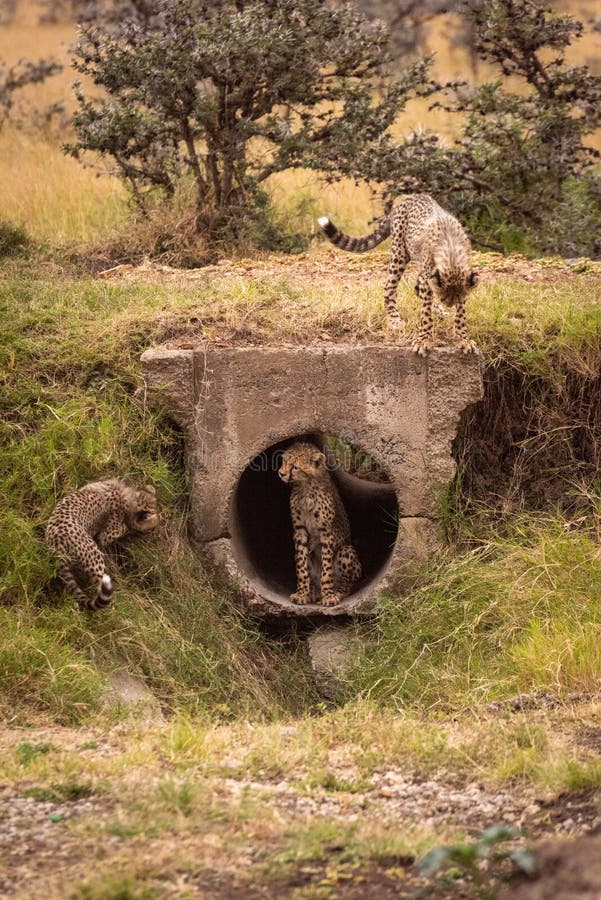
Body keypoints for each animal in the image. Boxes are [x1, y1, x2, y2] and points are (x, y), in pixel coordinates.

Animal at [46, 479, 159, 611]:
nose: (154, 528)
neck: (132, 499)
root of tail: (58, 544)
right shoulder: (107, 534)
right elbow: (122, 528)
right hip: (96, 560)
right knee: (103, 591)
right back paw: (117, 608)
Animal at [278, 441, 362, 607]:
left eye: (295, 467)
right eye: (284, 461)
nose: (281, 474)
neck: (305, 486)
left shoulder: (326, 532)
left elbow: (327, 569)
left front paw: (329, 595)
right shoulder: (299, 530)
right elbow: (302, 566)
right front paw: (302, 593)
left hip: (346, 550)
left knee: (348, 585)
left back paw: (337, 592)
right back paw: (313, 591)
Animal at [318, 193, 479, 356]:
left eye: (457, 299)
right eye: (443, 298)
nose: (448, 305)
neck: (451, 254)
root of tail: (410, 197)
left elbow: (461, 315)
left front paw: (463, 339)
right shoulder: (428, 278)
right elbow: (426, 314)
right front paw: (423, 340)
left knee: (416, 289)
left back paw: (439, 312)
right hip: (399, 253)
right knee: (390, 287)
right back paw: (394, 318)